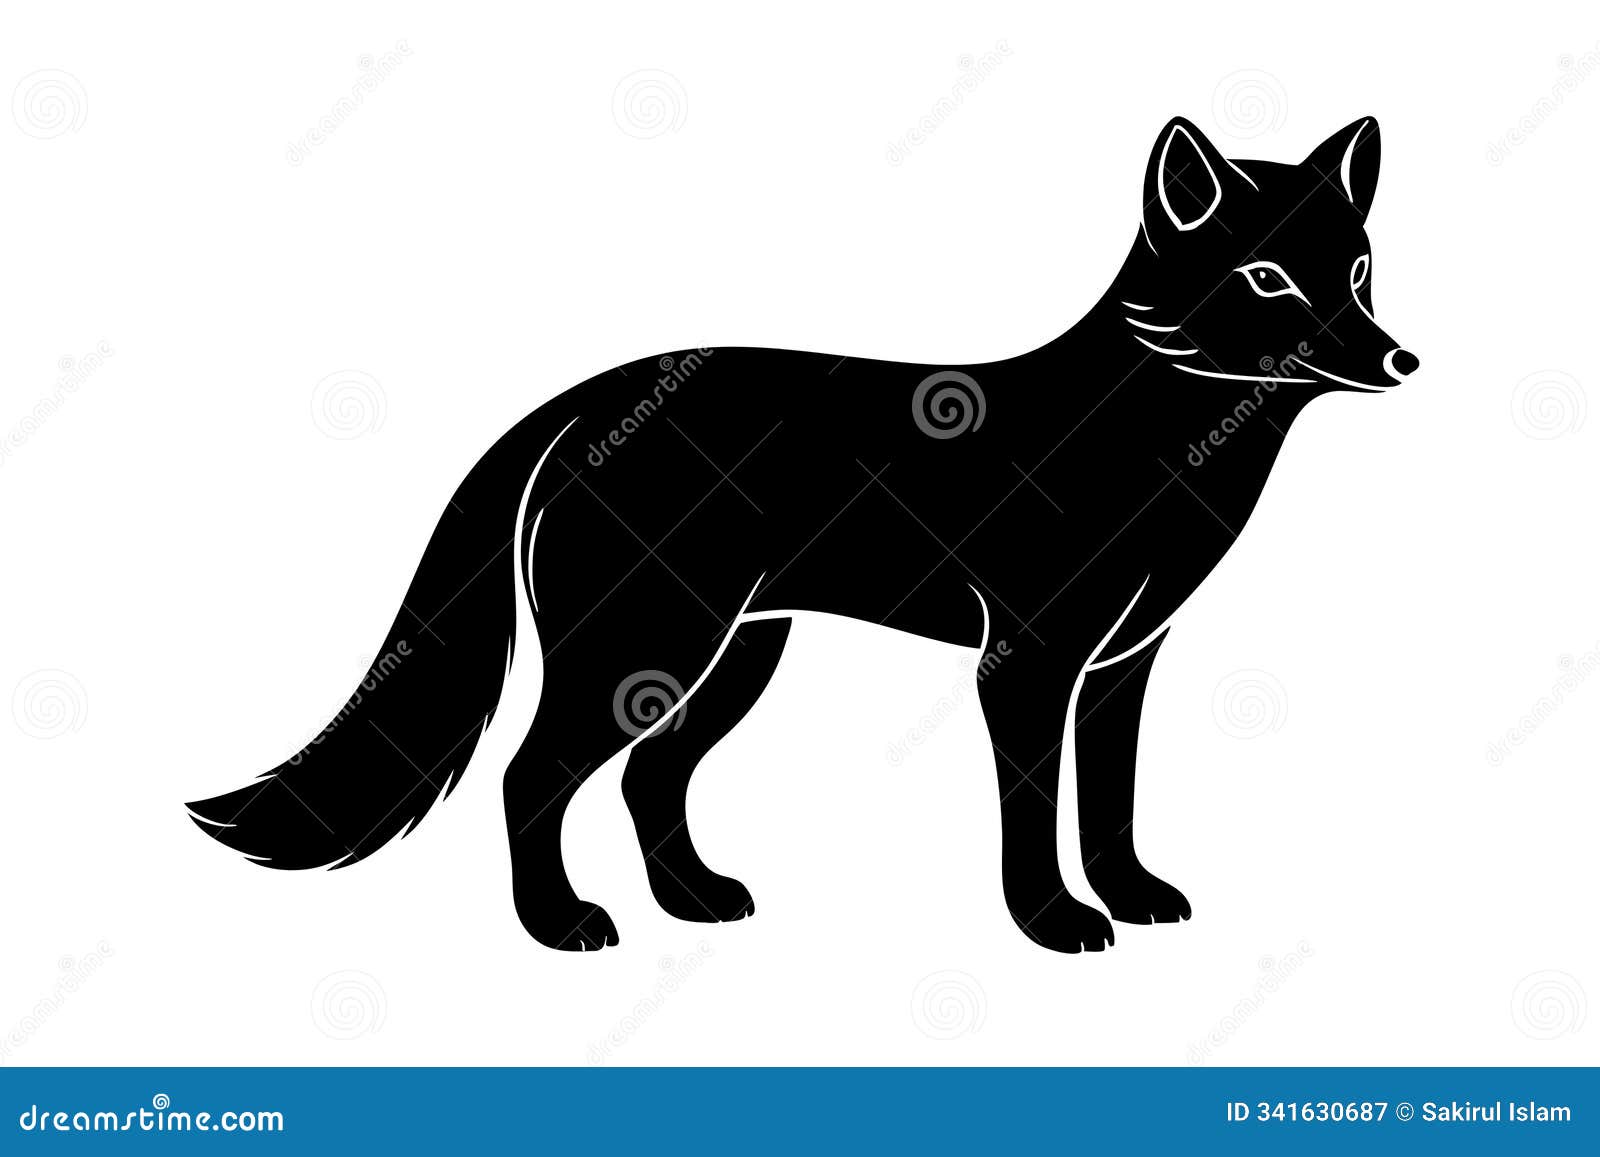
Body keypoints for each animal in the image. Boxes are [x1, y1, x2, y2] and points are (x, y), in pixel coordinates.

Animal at [189, 115, 1418, 953]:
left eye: (1358, 271)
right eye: (1265, 276)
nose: (1398, 356)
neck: (1162, 446)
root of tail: (590, 398)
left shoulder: (1126, 660)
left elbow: (1108, 798)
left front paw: (1135, 898)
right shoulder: (1026, 660)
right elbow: (1034, 808)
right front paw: (1054, 922)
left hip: (728, 654)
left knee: (649, 780)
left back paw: (696, 900)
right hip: (644, 646)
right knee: (531, 775)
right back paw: (563, 923)